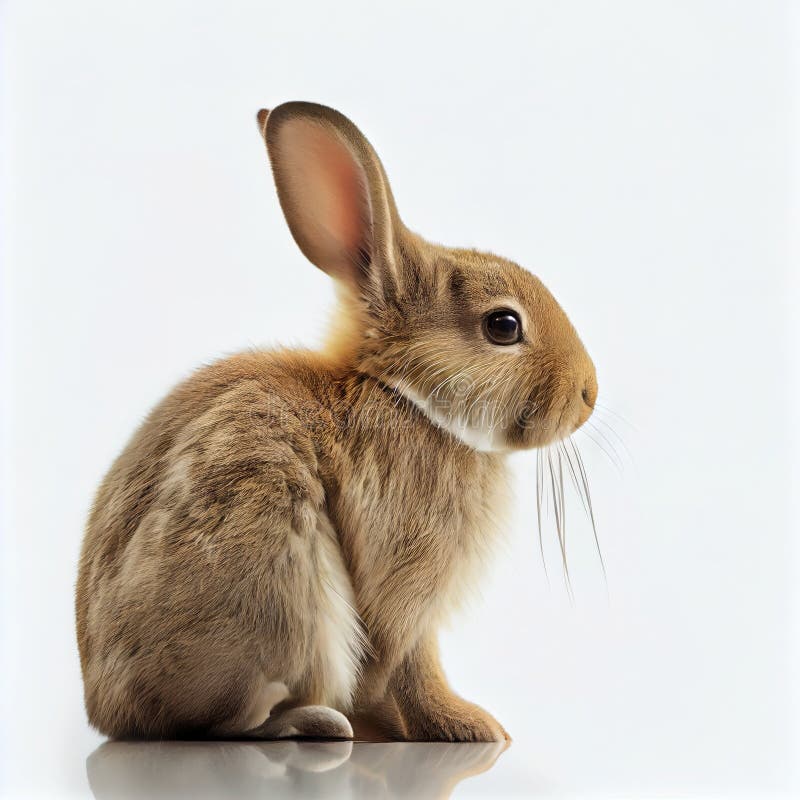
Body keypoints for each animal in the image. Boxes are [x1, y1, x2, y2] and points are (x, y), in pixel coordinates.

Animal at [75, 101, 597, 742]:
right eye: (504, 325)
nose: (589, 393)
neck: (406, 398)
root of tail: (110, 710)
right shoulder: (406, 581)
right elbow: (410, 663)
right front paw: (469, 727)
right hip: (276, 575)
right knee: (226, 721)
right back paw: (312, 722)